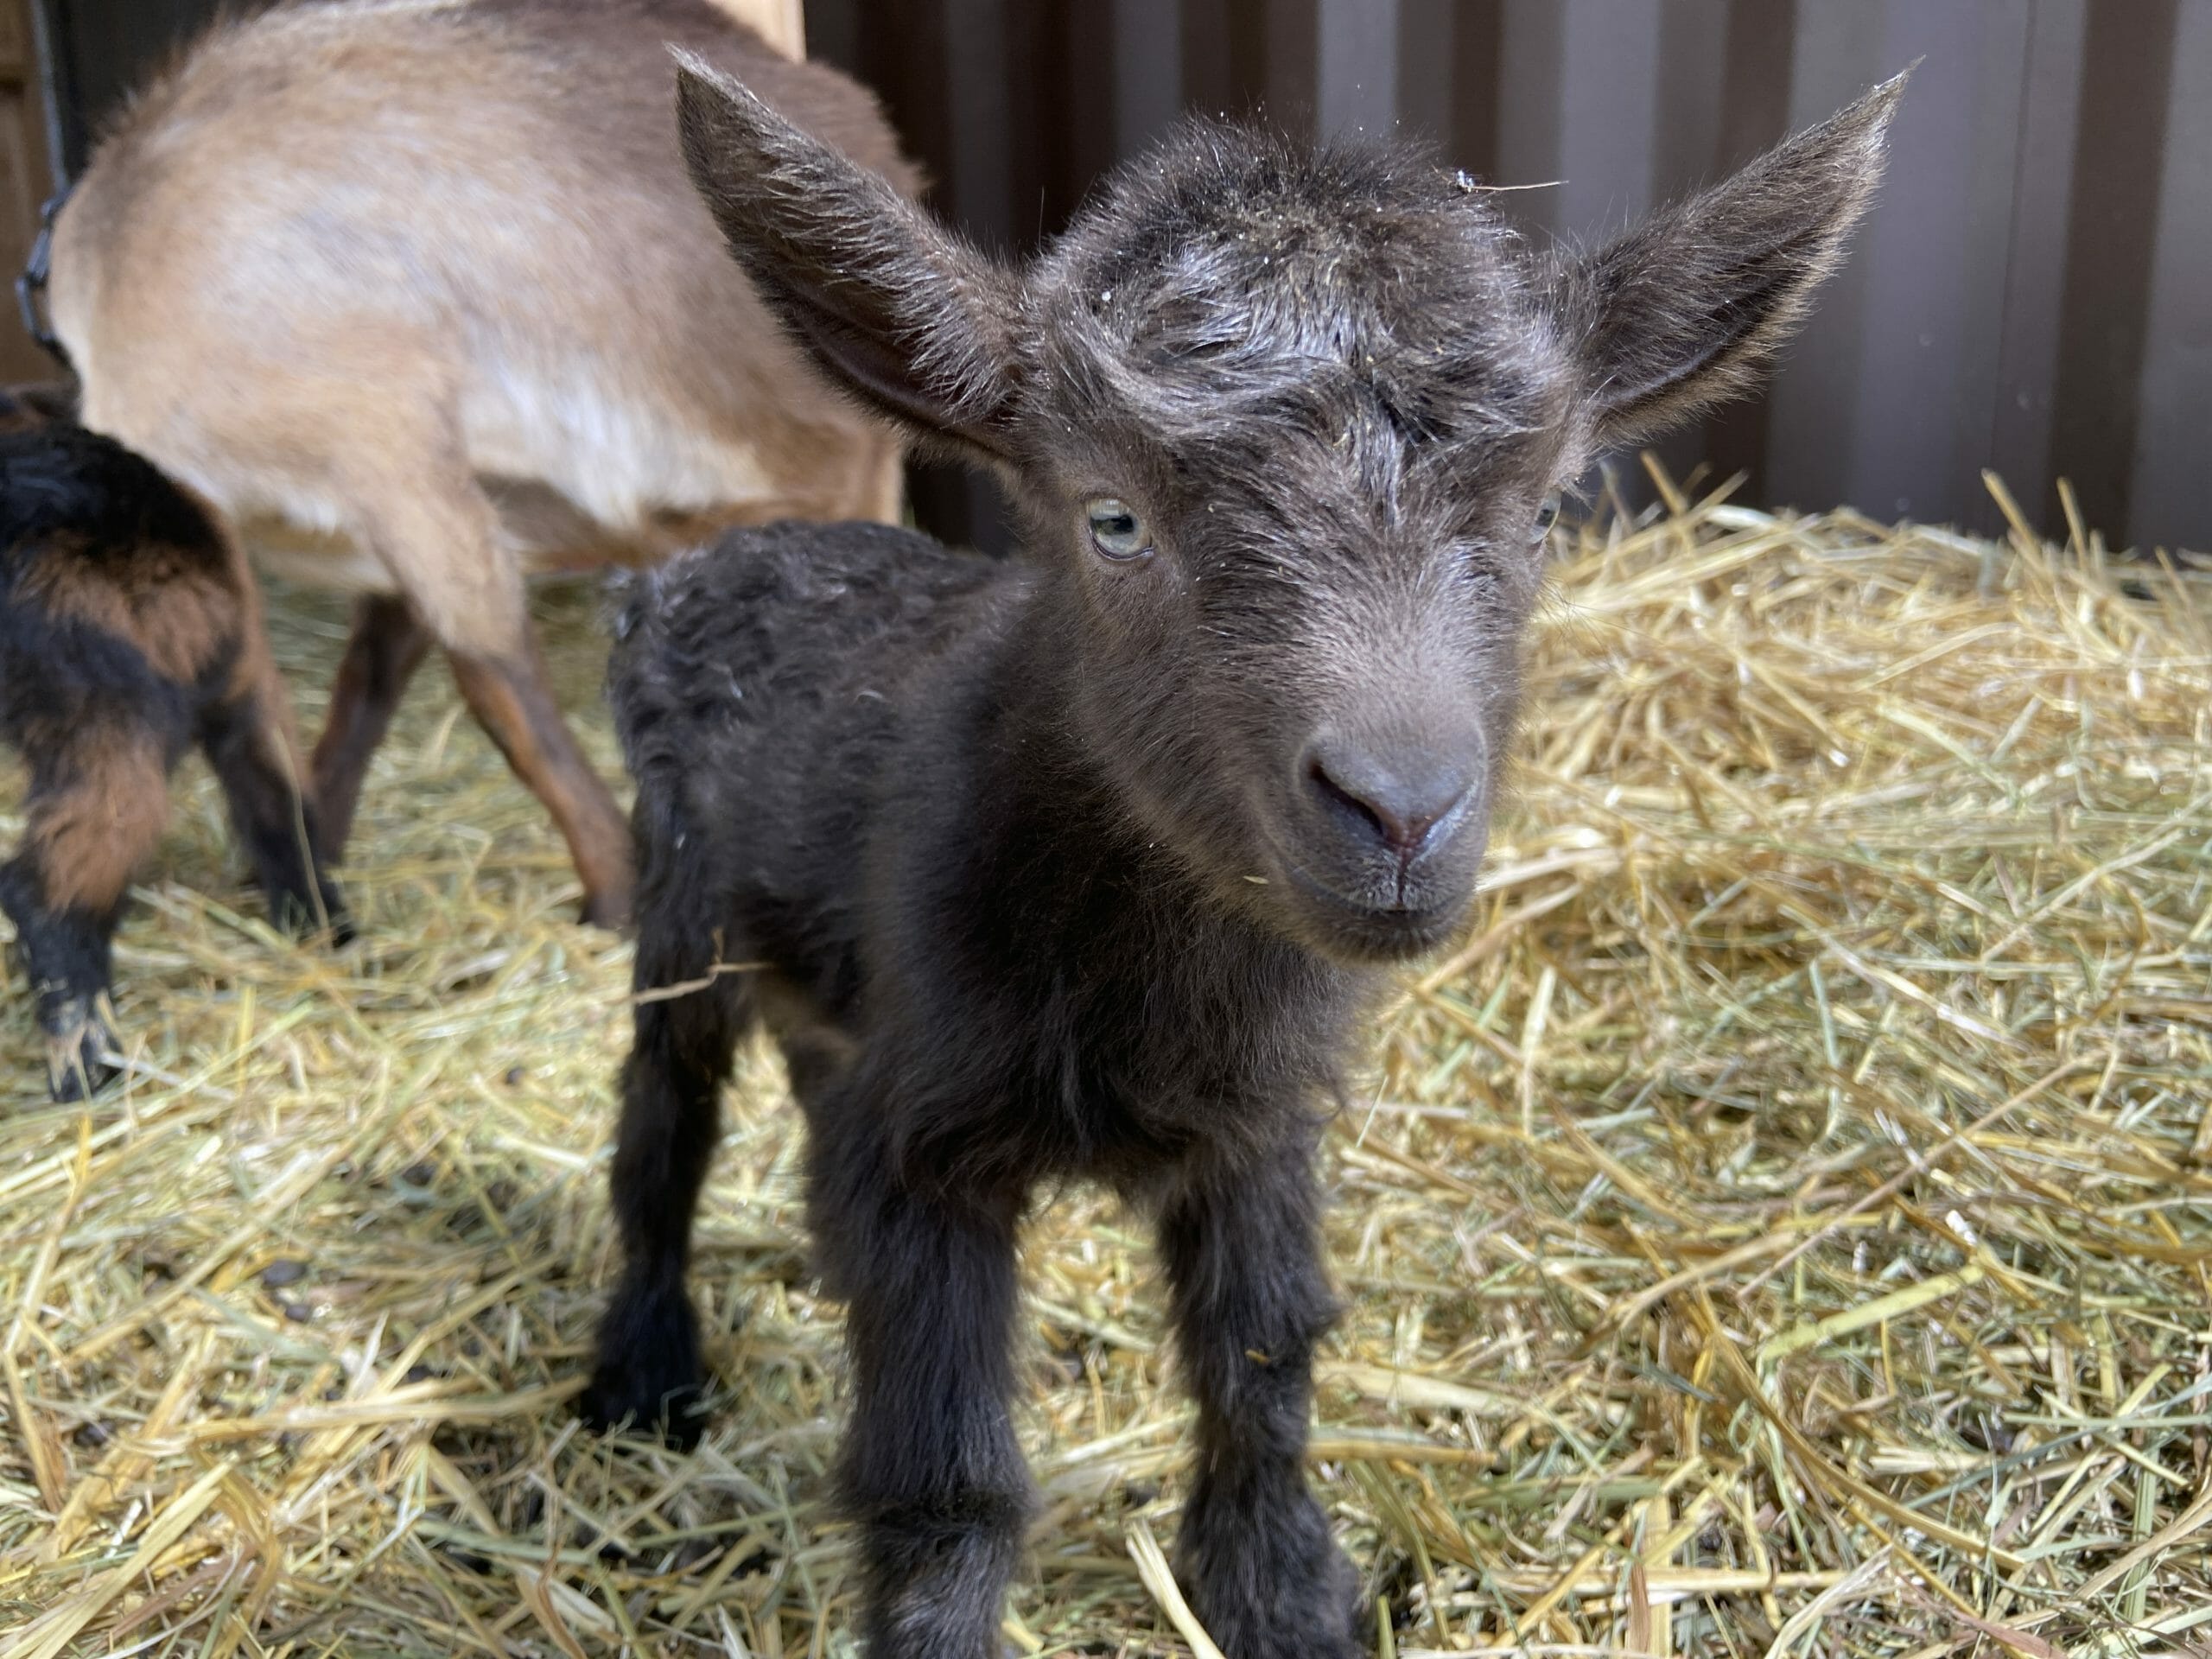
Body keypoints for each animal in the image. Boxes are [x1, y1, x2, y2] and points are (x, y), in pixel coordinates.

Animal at [586, 62, 1901, 1658]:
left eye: (1542, 513)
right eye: (1112, 518)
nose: (1399, 810)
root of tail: (690, 566)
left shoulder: (1255, 1122)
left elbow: (1264, 1360)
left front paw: (1283, 1596)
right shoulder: (923, 1155)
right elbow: (946, 1475)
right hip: (674, 908)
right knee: (661, 1127)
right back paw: (643, 1375)